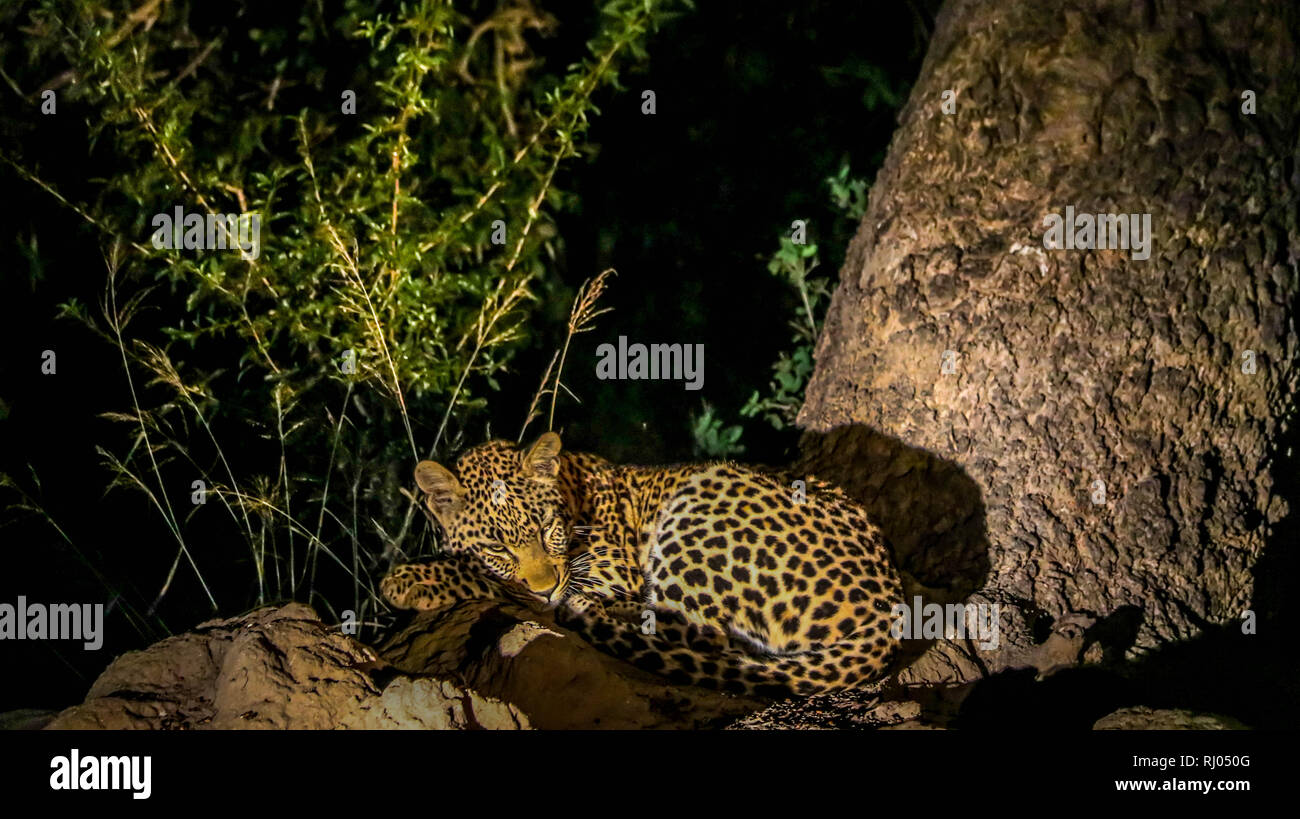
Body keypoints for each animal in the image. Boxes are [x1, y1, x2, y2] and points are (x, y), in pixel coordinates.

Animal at [380, 432, 904, 698]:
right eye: (497, 547)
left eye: (547, 527)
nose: (545, 588)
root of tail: (890, 604)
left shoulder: (610, 566)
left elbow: (502, 582)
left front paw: (409, 580)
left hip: (707, 495)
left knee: (697, 633)